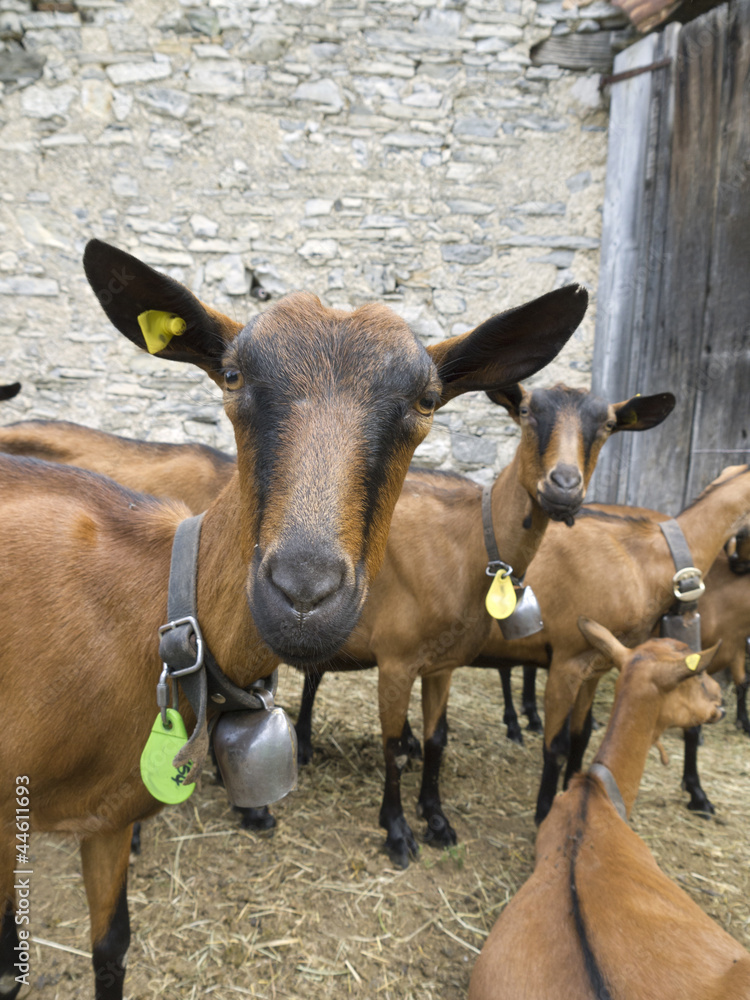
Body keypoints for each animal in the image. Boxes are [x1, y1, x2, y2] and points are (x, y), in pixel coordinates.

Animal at [0, 239, 586, 1000]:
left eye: (427, 399)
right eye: (232, 373)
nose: (303, 594)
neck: (150, 603)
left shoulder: (106, 817)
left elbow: (111, 950)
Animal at [293, 382, 675, 867]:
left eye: (608, 424)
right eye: (527, 411)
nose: (564, 486)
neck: (469, 541)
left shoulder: (441, 663)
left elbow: (438, 740)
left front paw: (437, 821)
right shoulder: (396, 661)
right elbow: (393, 747)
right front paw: (397, 832)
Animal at [472, 467, 750, 825]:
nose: (739, 563)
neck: (643, 558)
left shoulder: (597, 665)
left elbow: (581, 737)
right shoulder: (567, 662)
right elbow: (557, 745)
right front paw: (545, 812)